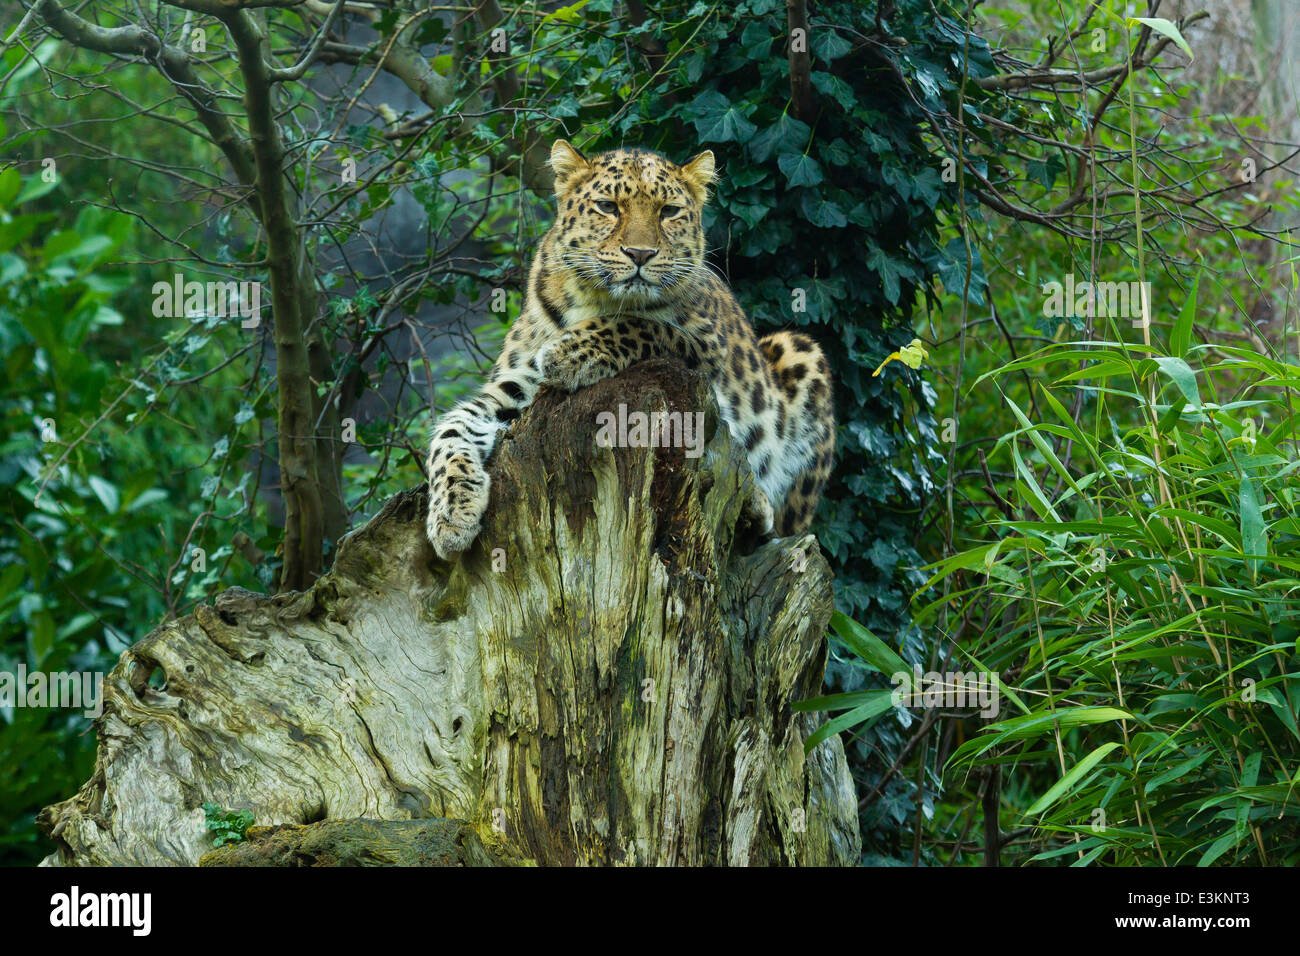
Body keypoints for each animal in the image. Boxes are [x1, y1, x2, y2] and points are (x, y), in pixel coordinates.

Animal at [424, 138, 835, 560]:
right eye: (608, 206)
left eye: (668, 211)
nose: (640, 254)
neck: (595, 299)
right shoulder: (515, 384)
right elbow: (452, 430)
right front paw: (451, 516)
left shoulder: (707, 352)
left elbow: (641, 324)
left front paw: (572, 353)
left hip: (799, 351)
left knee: (781, 523)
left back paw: (760, 504)